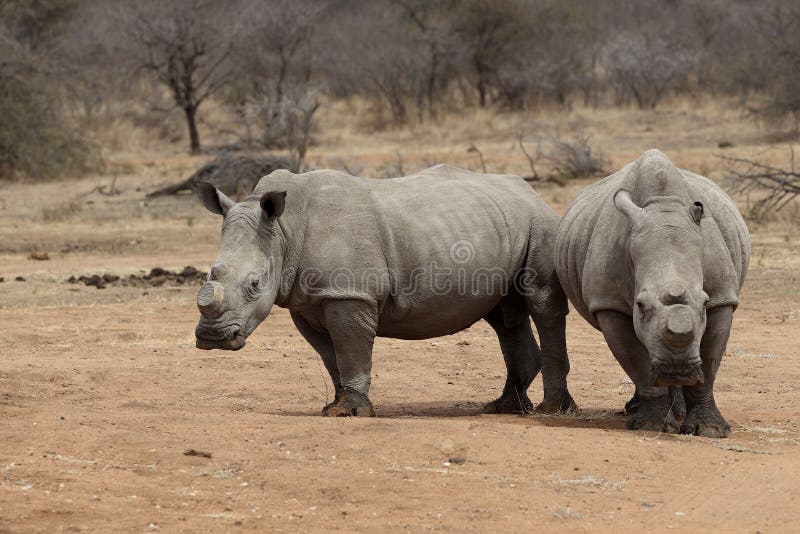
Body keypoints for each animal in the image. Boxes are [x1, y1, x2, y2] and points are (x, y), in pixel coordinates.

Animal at [193, 164, 577, 417]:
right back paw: (504, 408)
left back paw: (551, 411)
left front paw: (352, 413)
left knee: (541, 302)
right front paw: (335, 407)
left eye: (255, 284)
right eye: (212, 273)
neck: (284, 232)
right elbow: (330, 357)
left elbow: (351, 351)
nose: (211, 338)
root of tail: (530, 191)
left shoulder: (349, 293)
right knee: (504, 316)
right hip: (499, 226)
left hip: (540, 223)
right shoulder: (307, 301)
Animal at [555, 149, 749, 437]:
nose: (677, 366)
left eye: (704, 304)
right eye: (640, 305)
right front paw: (651, 425)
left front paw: (709, 430)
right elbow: (638, 363)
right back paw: (643, 410)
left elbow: (710, 364)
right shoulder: (609, 303)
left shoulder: (722, 297)